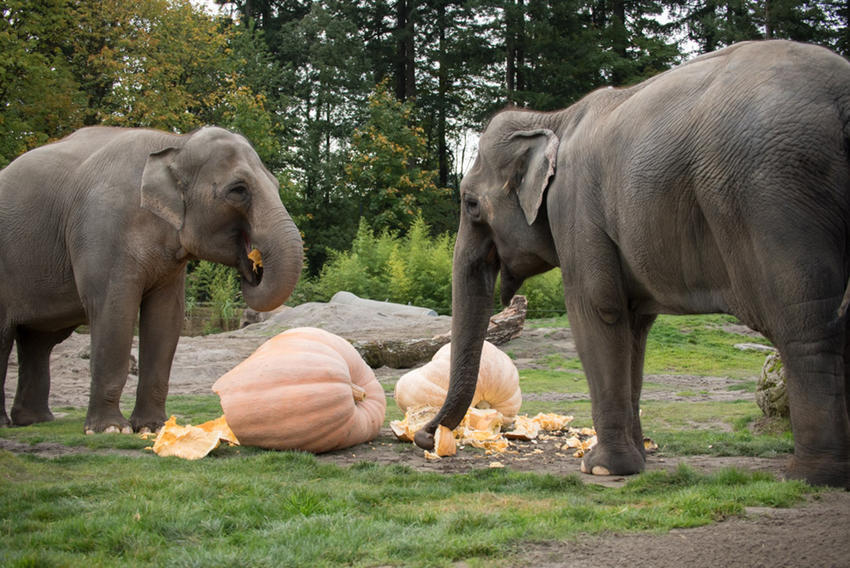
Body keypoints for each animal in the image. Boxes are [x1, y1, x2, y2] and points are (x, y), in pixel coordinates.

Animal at [0, 126, 303, 433]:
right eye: (238, 190)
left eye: (275, 185)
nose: (253, 267)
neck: (175, 144)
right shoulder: (103, 229)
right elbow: (113, 310)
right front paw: (110, 429)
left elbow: (166, 317)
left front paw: (152, 428)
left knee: (39, 342)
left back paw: (35, 421)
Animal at [414, 40, 850, 488]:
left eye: (471, 204)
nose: (425, 437)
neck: (553, 118)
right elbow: (635, 329)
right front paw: (639, 459)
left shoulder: (577, 212)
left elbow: (596, 310)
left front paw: (601, 467)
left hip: (773, 196)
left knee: (804, 323)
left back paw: (811, 477)